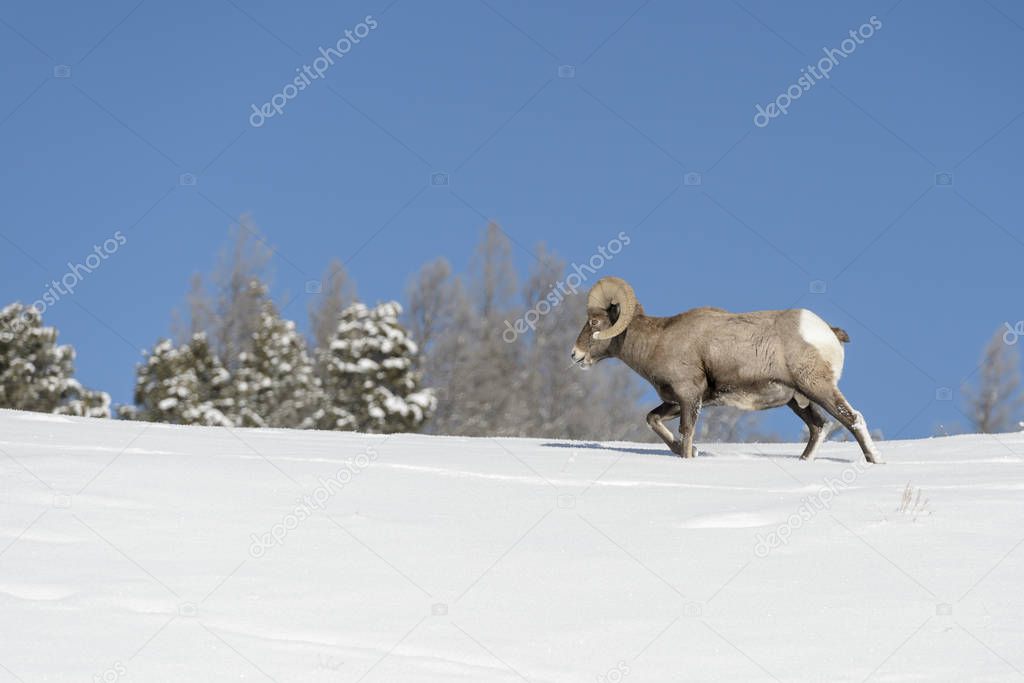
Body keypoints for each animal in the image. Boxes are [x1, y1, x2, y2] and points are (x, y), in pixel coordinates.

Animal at [570, 277, 882, 463]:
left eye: (595, 322)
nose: (575, 355)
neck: (658, 340)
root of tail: (828, 331)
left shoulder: (688, 396)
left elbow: (686, 432)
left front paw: (688, 456)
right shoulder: (684, 400)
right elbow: (652, 420)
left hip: (817, 388)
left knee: (852, 419)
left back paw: (875, 461)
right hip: (797, 400)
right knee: (819, 427)